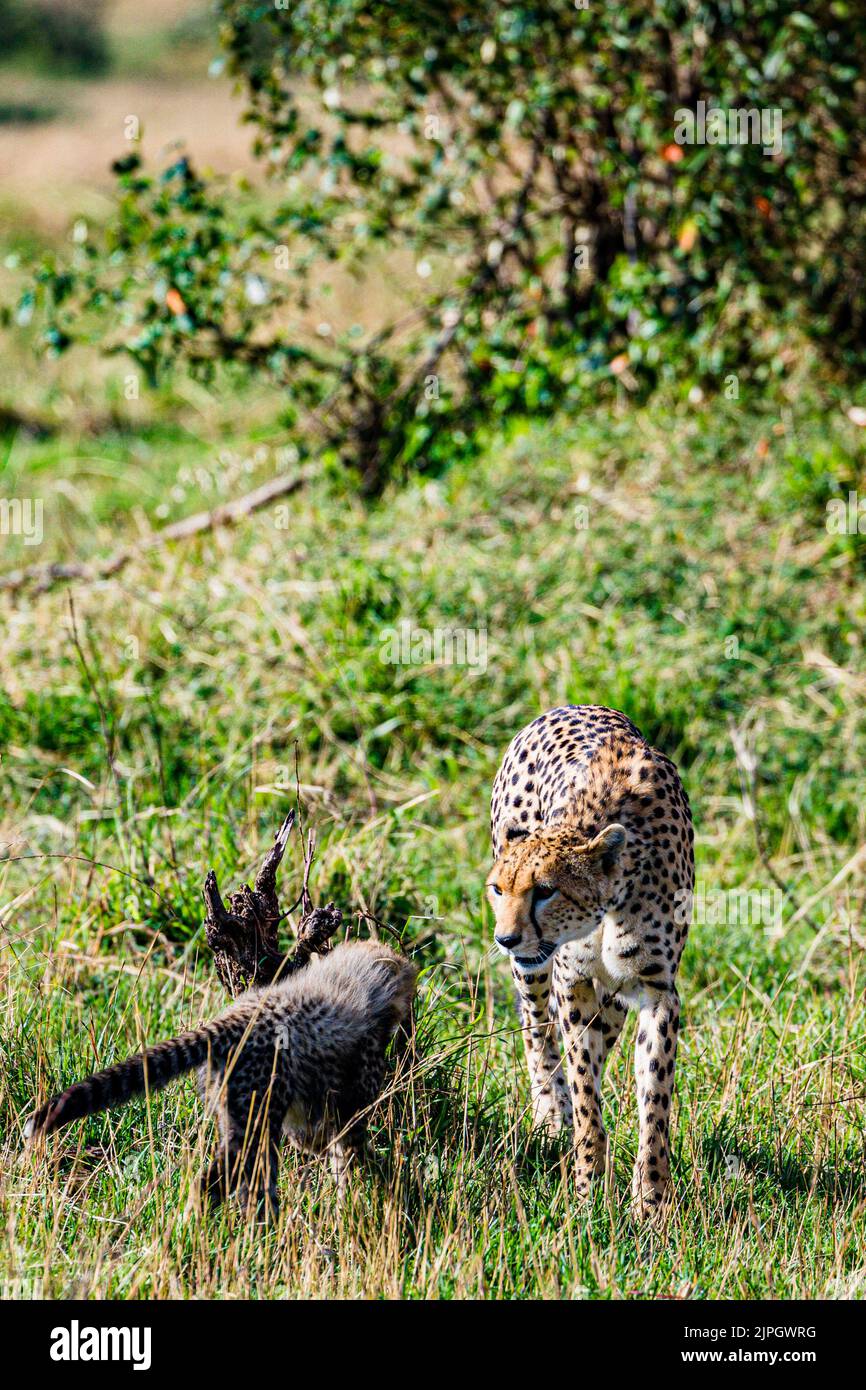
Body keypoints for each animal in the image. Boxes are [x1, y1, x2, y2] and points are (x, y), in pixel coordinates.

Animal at [25, 939, 417, 1221]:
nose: (409, 1005)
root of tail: (229, 1020)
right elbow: (351, 1145)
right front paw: (385, 1190)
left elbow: (324, 1142)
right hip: (256, 1120)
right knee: (226, 1182)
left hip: (238, 1112)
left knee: (239, 1182)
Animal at [487, 704, 694, 1218]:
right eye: (498, 889)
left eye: (545, 890)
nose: (506, 938)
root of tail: (567, 706)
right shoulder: (572, 982)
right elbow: (584, 1093)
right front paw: (588, 1187)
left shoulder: (657, 990)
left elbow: (655, 1098)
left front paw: (651, 1201)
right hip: (537, 974)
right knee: (537, 1026)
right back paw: (549, 1112)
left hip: (614, 996)